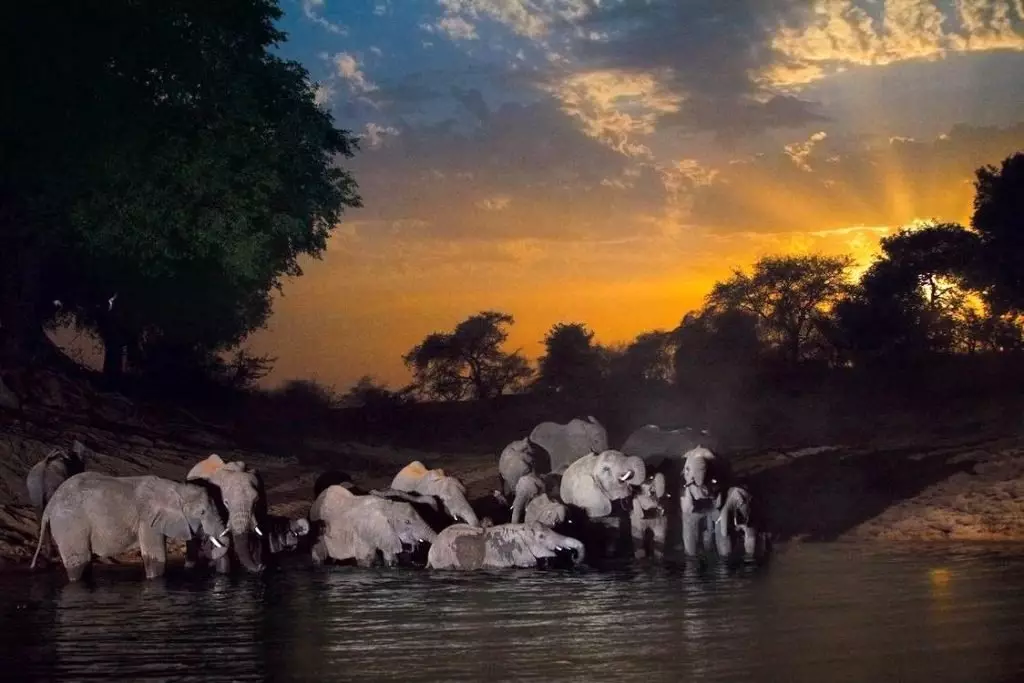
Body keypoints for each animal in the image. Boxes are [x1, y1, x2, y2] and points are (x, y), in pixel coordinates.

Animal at [30, 475, 228, 581]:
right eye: (202, 512)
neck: (177, 488)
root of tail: (49, 506)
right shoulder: (147, 520)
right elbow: (156, 558)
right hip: (70, 524)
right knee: (80, 559)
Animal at [311, 483, 440, 569]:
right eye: (407, 522)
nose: (425, 566)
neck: (388, 506)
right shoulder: (362, 533)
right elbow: (366, 560)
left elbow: (390, 558)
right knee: (318, 553)